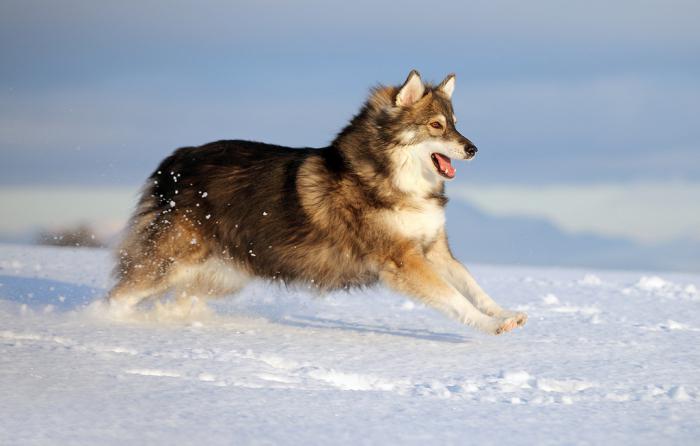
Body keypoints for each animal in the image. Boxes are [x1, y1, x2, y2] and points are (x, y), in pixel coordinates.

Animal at [108, 70, 524, 334]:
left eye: (455, 123)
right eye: (436, 125)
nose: (472, 149)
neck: (389, 177)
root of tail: (177, 159)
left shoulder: (434, 248)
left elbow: (473, 286)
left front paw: (504, 312)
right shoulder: (402, 260)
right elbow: (454, 299)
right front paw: (491, 325)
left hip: (221, 274)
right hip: (169, 262)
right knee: (118, 297)